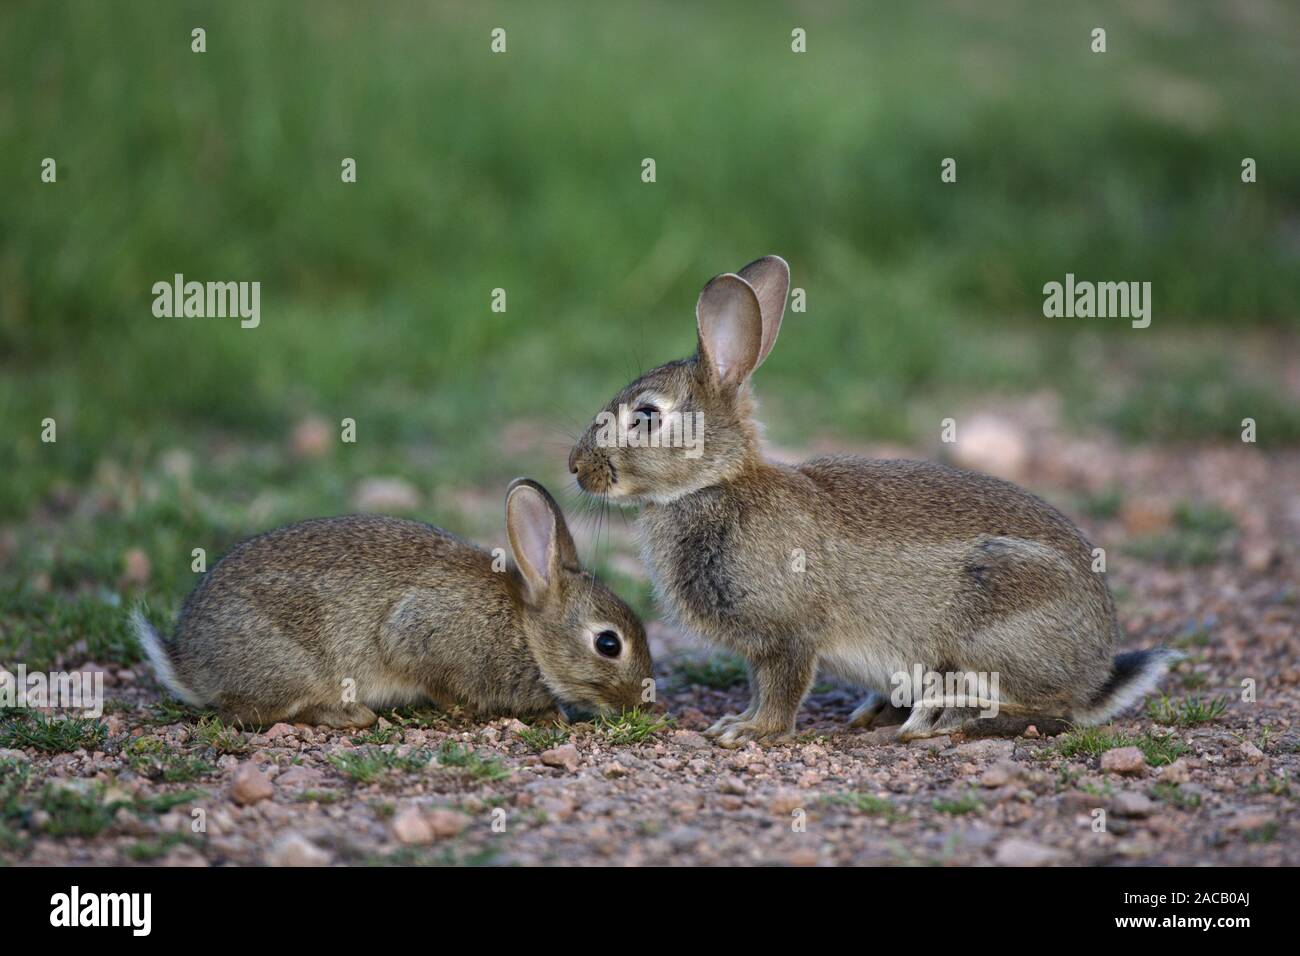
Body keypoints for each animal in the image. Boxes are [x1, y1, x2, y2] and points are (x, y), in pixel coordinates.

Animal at [130, 478, 652, 729]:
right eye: (608, 644)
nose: (645, 702)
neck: (527, 631)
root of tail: (189, 663)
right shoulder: (418, 633)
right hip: (290, 667)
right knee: (244, 714)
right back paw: (350, 716)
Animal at [567, 255, 1178, 747]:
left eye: (647, 415)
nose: (576, 467)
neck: (714, 483)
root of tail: (1094, 668)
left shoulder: (790, 634)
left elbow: (782, 687)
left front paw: (749, 732)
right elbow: (761, 684)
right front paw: (735, 722)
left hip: (999, 627)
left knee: (1049, 708)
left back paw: (942, 718)